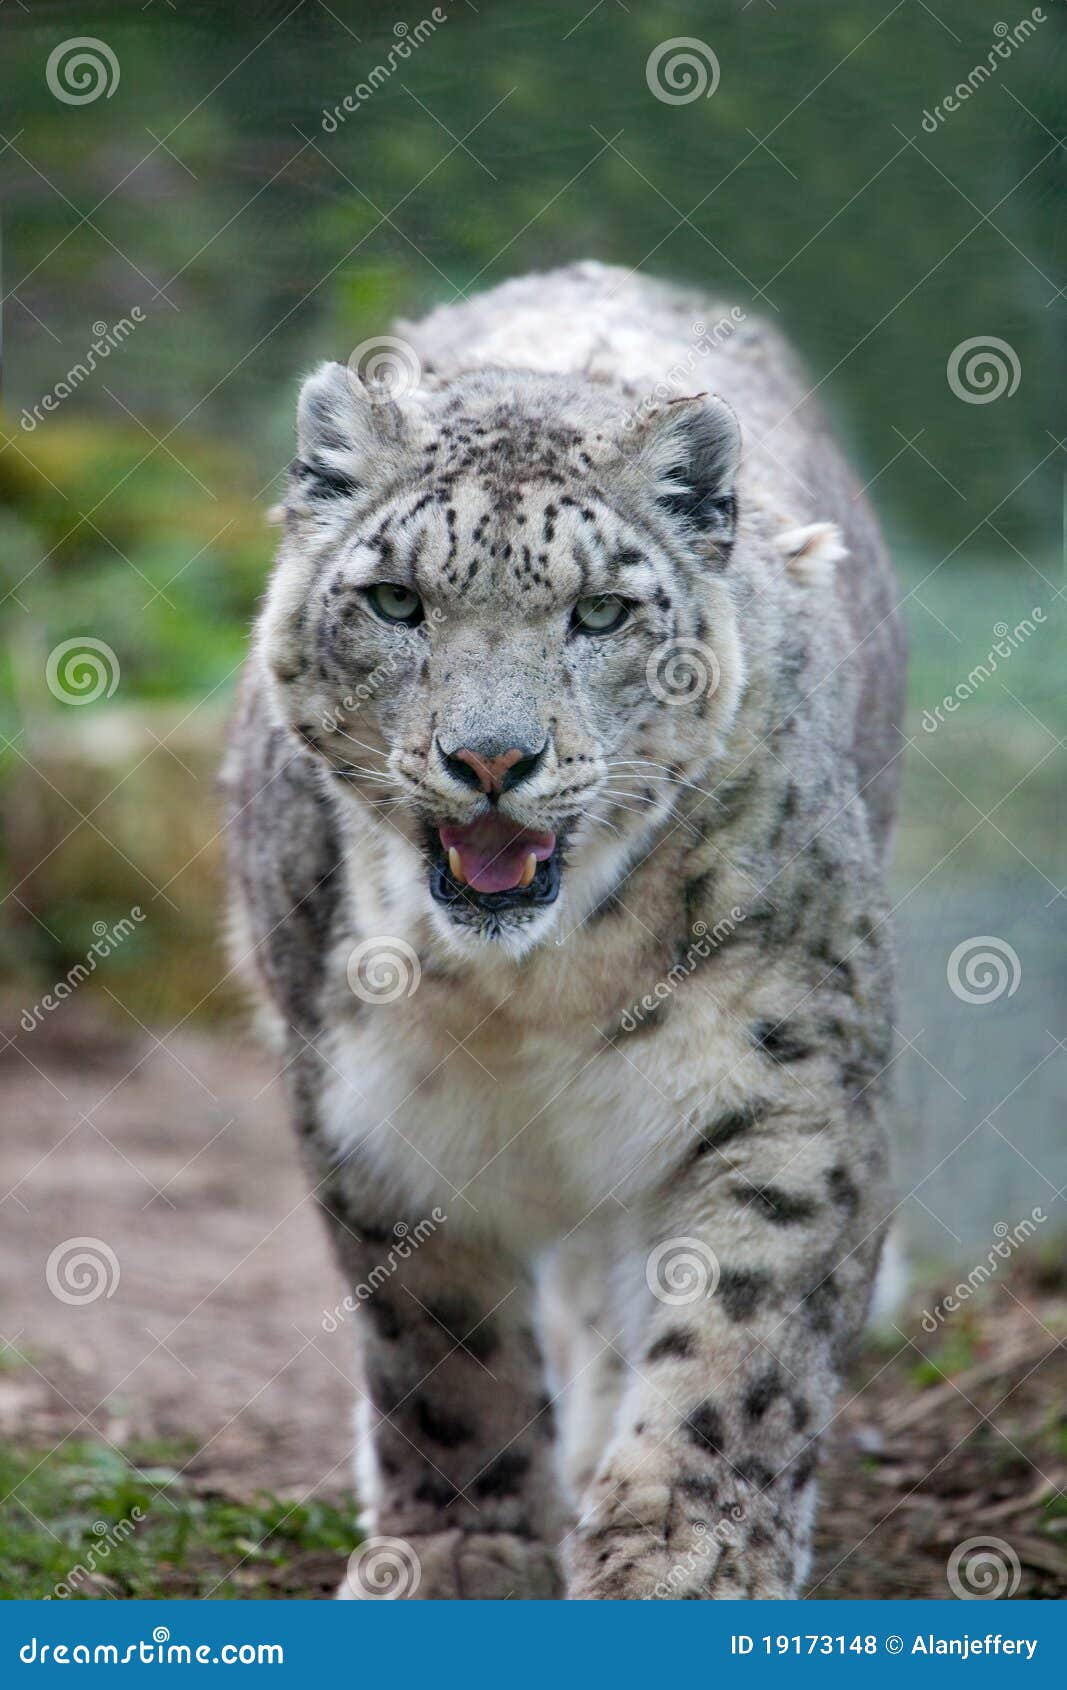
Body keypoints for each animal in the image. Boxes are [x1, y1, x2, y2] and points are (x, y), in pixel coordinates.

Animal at [224, 260, 905, 1600]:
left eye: (598, 612)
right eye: (395, 600)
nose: (492, 757)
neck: (530, 988)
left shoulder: (793, 1074)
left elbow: (742, 1323)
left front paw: (687, 1554)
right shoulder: (374, 1108)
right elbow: (436, 1347)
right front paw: (458, 1546)